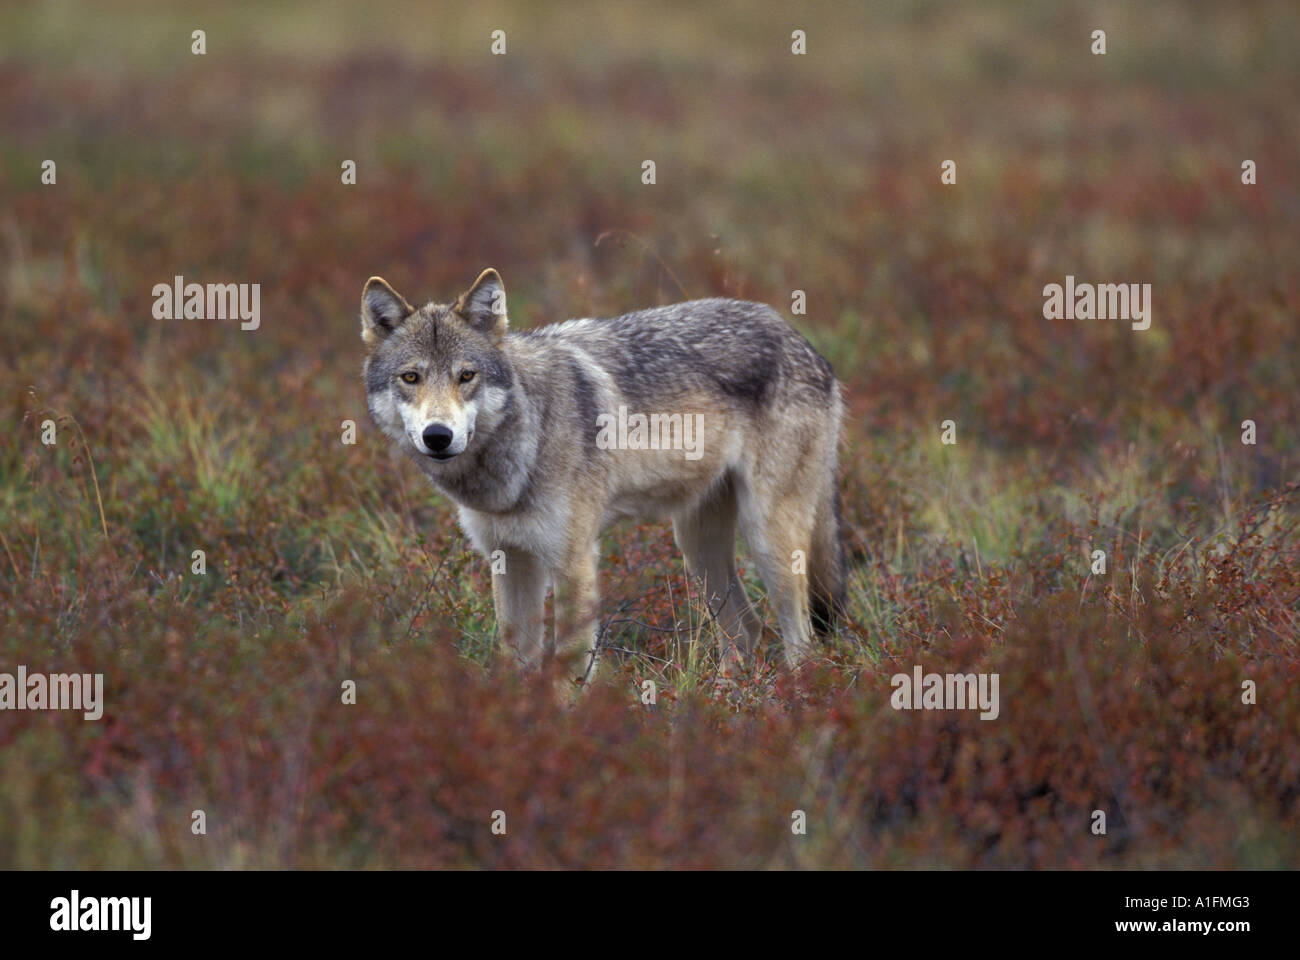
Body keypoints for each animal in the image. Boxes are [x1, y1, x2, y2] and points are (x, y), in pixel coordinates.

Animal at [361, 268, 845, 683]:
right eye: (410, 377)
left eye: (466, 376)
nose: (437, 435)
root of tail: (802, 341)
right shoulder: (510, 558)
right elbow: (517, 658)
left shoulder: (573, 561)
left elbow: (570, 664)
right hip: (697, 548)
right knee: (746, 629)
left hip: (767, 541)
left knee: (802, 642)